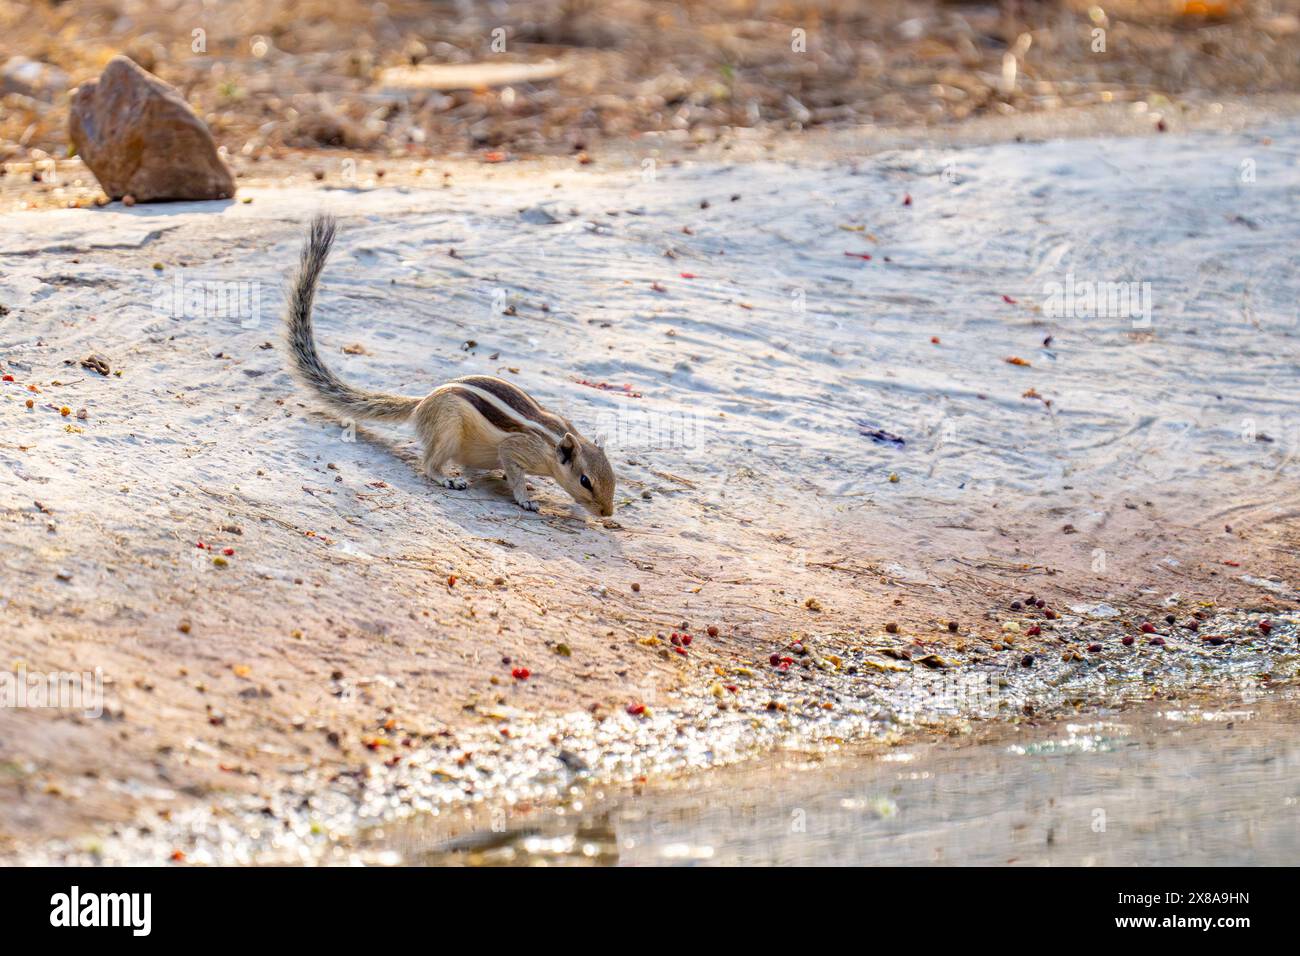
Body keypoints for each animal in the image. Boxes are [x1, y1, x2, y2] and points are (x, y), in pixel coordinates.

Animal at [283, 215, 616, 517]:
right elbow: (513, 467)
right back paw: (448, 479)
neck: (552, 443)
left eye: (612, 477)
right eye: (585, 481)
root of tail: (423, 401)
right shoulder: (517, 448)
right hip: (447, 428)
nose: (607, 513)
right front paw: (525, 498)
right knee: (430, 462)